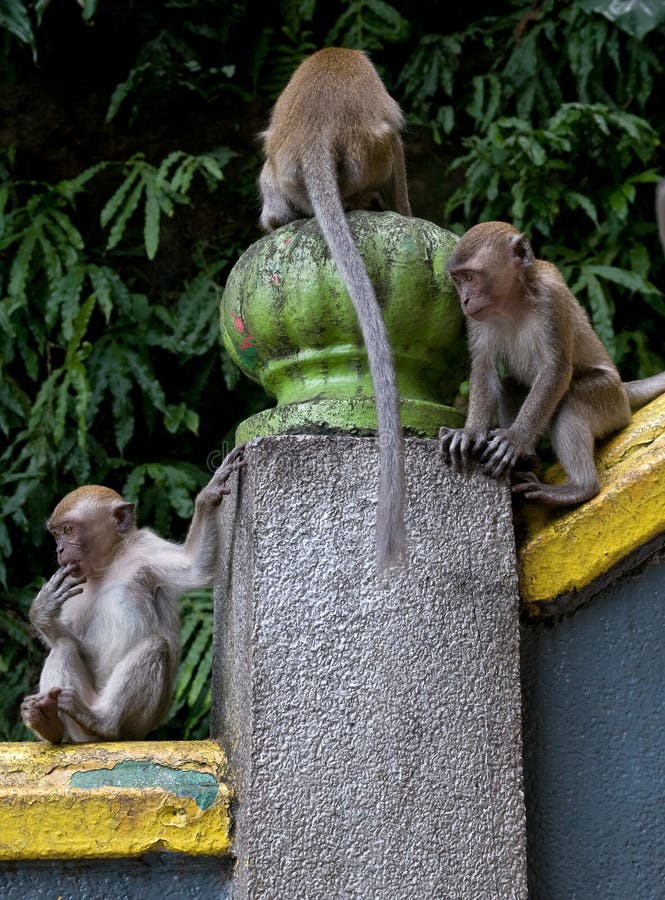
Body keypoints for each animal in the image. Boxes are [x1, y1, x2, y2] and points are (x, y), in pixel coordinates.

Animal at [20, 445, 245, 743]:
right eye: (56, 534)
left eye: (68, 530)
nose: (59, 550)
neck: (110, 563)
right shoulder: (76, 580)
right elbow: (73, 639)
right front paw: (42, 612)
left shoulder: (145, 551)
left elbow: (196, 568)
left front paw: (209, 496)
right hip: (81, 714)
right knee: (64, 646)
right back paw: (49, 723)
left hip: (137, 724)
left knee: (154, 647)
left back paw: (102, 721)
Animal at [438, 222, 665, 506]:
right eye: (457, 280)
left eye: (470, 277)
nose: (464, 300)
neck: (512, 302)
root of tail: (623, 389)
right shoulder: (475, 318)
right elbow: (483, 367)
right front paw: (470, 432)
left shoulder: (551, 296)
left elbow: (556, 370)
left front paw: (514, 439)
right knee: (512, 384)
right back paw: (529, 459)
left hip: (610, 399)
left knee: (571, 399)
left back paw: (580, 487)